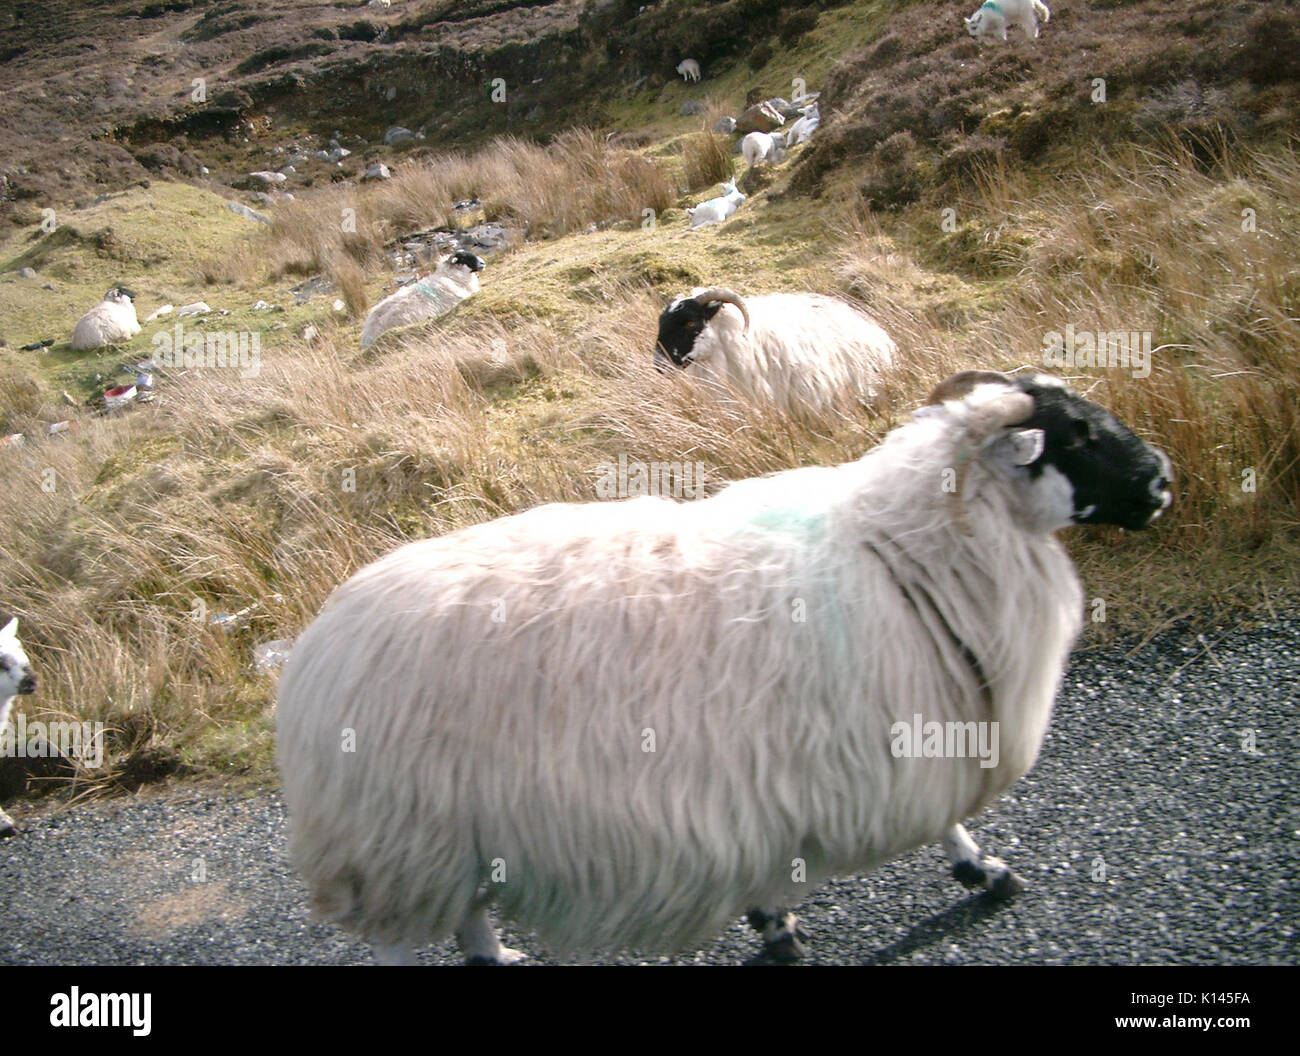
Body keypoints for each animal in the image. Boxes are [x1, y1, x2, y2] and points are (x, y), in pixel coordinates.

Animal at [275, 370, 1173, 964]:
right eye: (1077, 435)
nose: (1164, 480)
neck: (904, 552)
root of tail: (316, 647)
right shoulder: (868, 741)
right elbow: (929, 818)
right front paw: (974, 871)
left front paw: (972, 870)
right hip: (398, 844)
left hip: (445, 842)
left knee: (469, 918)